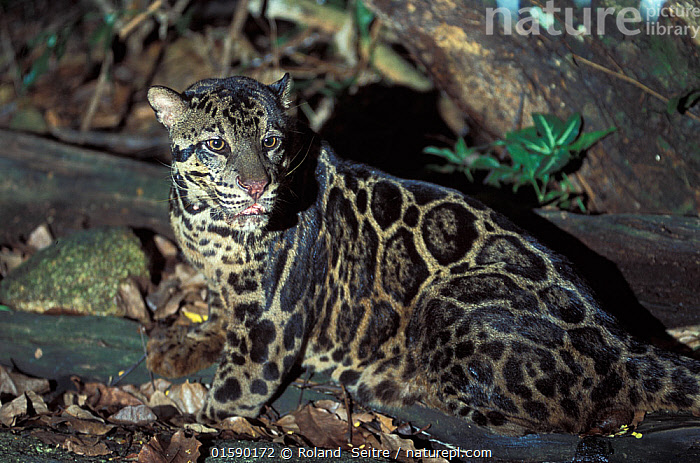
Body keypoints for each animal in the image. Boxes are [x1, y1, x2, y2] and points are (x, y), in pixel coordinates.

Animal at [146, 73, 700, 435]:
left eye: (270, 141)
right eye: (216, 144)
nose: (257, 186)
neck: (203, 221)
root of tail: (622, 340)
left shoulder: (270, 321)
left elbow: (234, 391)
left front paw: (195, 420)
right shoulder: (225, 288)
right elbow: (218, 316)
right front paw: (181, 345)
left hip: (449, 303)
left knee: (553, 418)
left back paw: (393, 382)